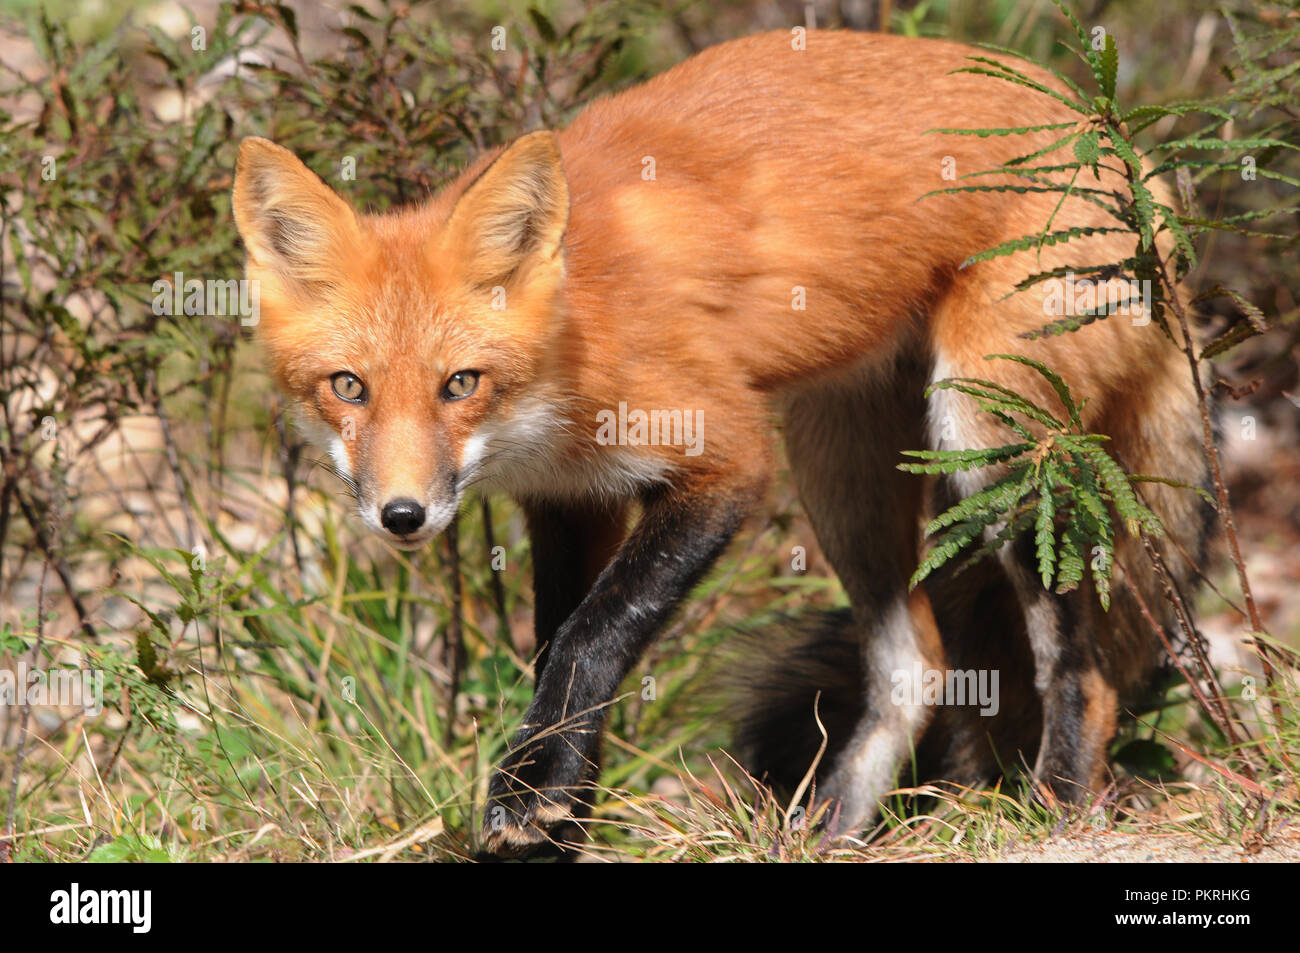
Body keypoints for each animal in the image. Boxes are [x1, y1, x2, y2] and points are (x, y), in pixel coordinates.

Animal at [232, 29, 1209, 856]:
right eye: (348, 387)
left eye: (459, 384)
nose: (402, 516)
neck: (576, 334)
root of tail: (1117, 138)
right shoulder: (570, 501)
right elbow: (564, 657)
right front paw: (560, 812)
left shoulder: (727, 455)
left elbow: (592, 637)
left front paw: (530, 791)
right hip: (843, 475)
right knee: (916, 670)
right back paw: (825, 834)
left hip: (988, 448)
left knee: (1081, 667)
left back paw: (1060, 807)